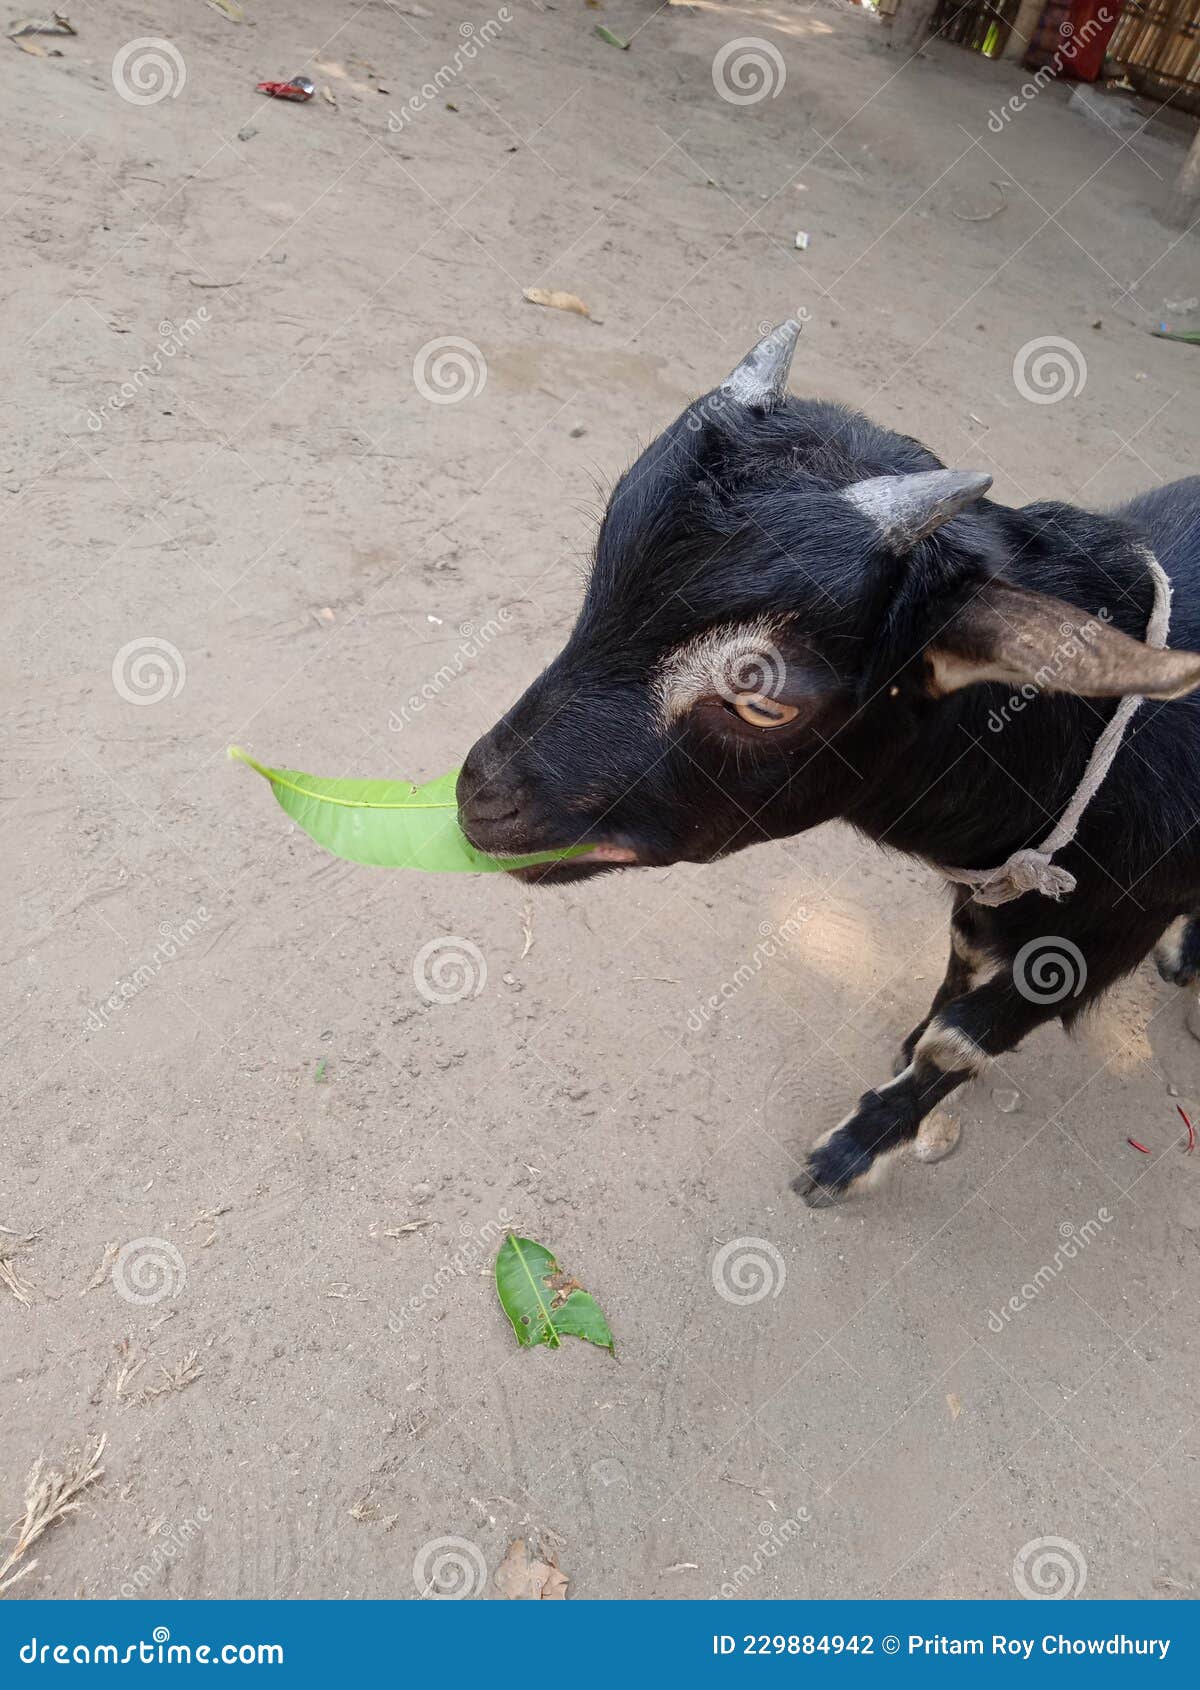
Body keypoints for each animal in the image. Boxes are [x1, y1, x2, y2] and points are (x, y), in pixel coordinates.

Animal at [458, 321, 1200, 1207]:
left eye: (763, 699)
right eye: (600, 571)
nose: (481, 798)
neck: (1091, 755)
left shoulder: (1115, 923)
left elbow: (963, 1041)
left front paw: (852, 1153)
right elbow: (960, 964)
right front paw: (903, 1056)